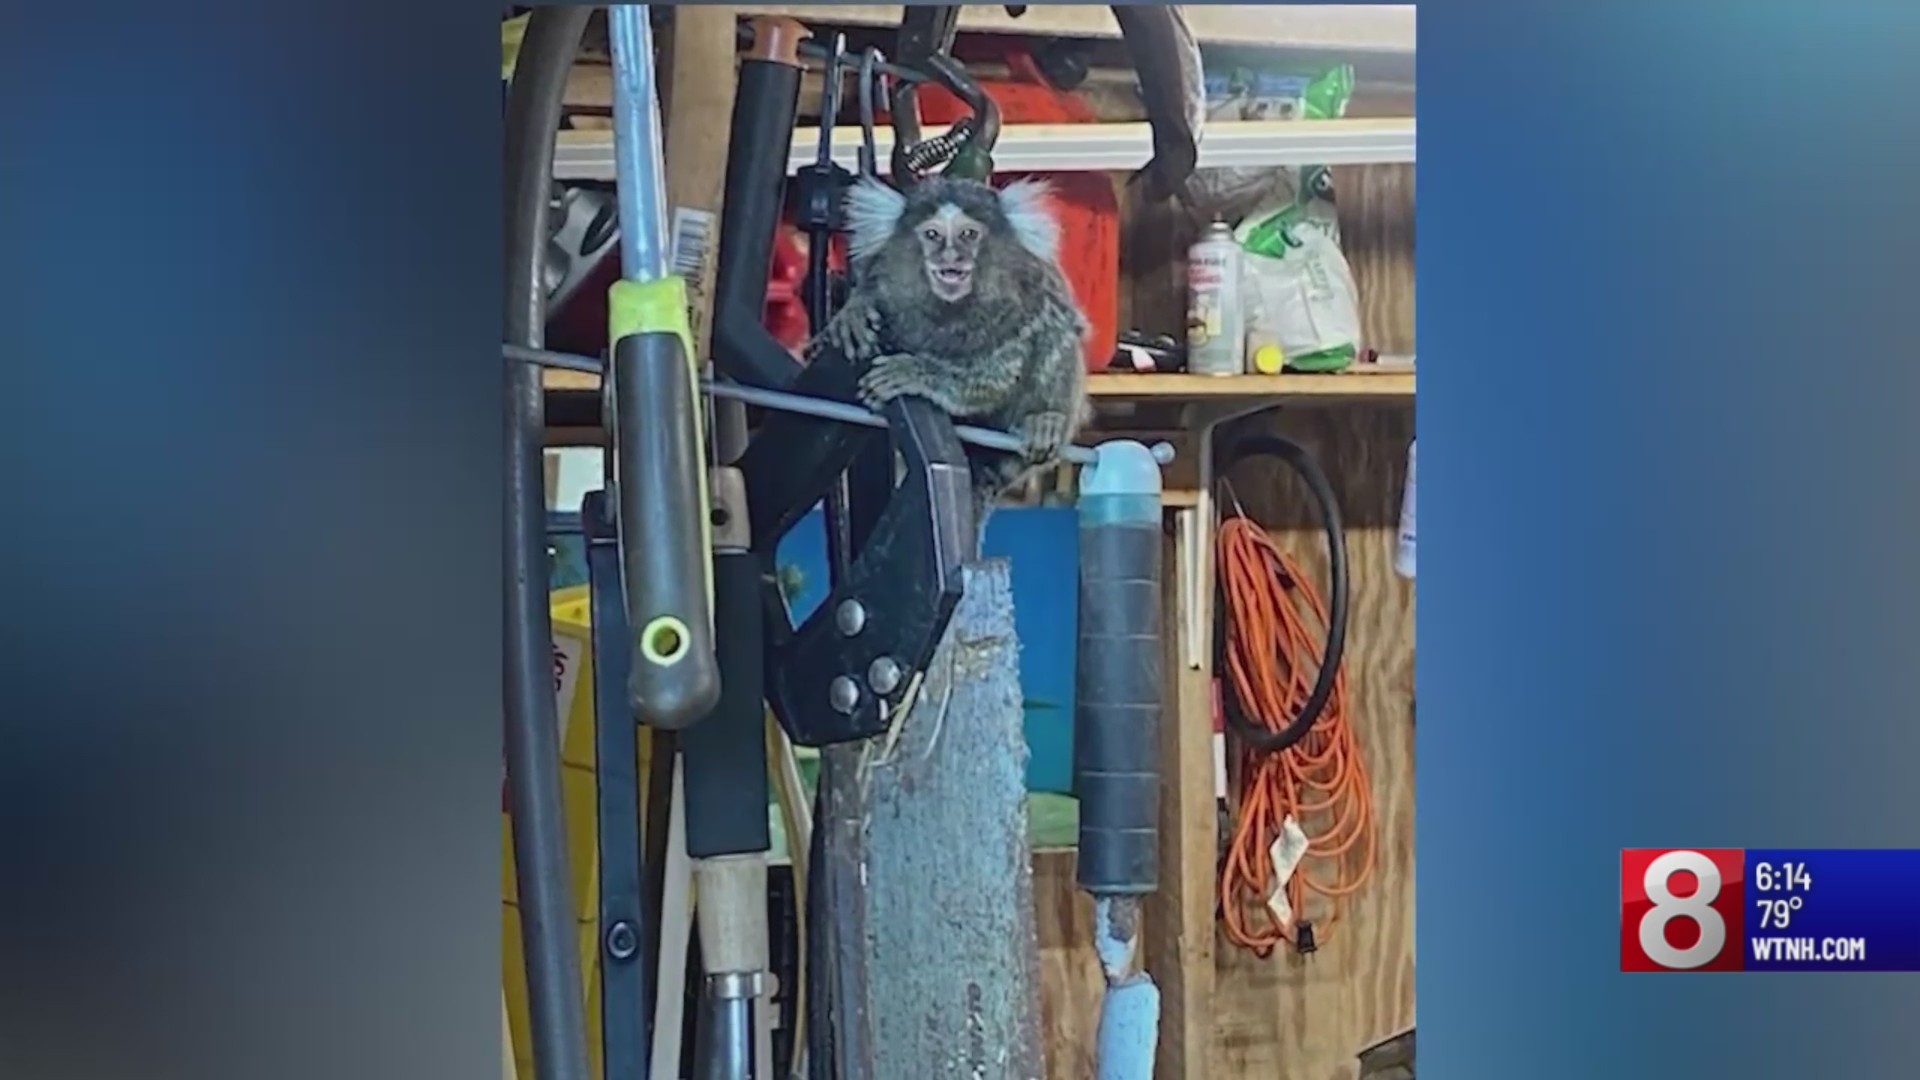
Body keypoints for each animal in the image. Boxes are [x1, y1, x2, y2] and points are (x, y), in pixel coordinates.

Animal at [812, 174, 1091, 534]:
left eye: (968, 234)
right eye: (932, 235)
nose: (950, 257)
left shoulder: (1023, 297)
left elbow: (997, 373)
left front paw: (916, 373)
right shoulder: (885, 283)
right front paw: (852, 314)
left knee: (1057, 329)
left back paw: (1046, 420)